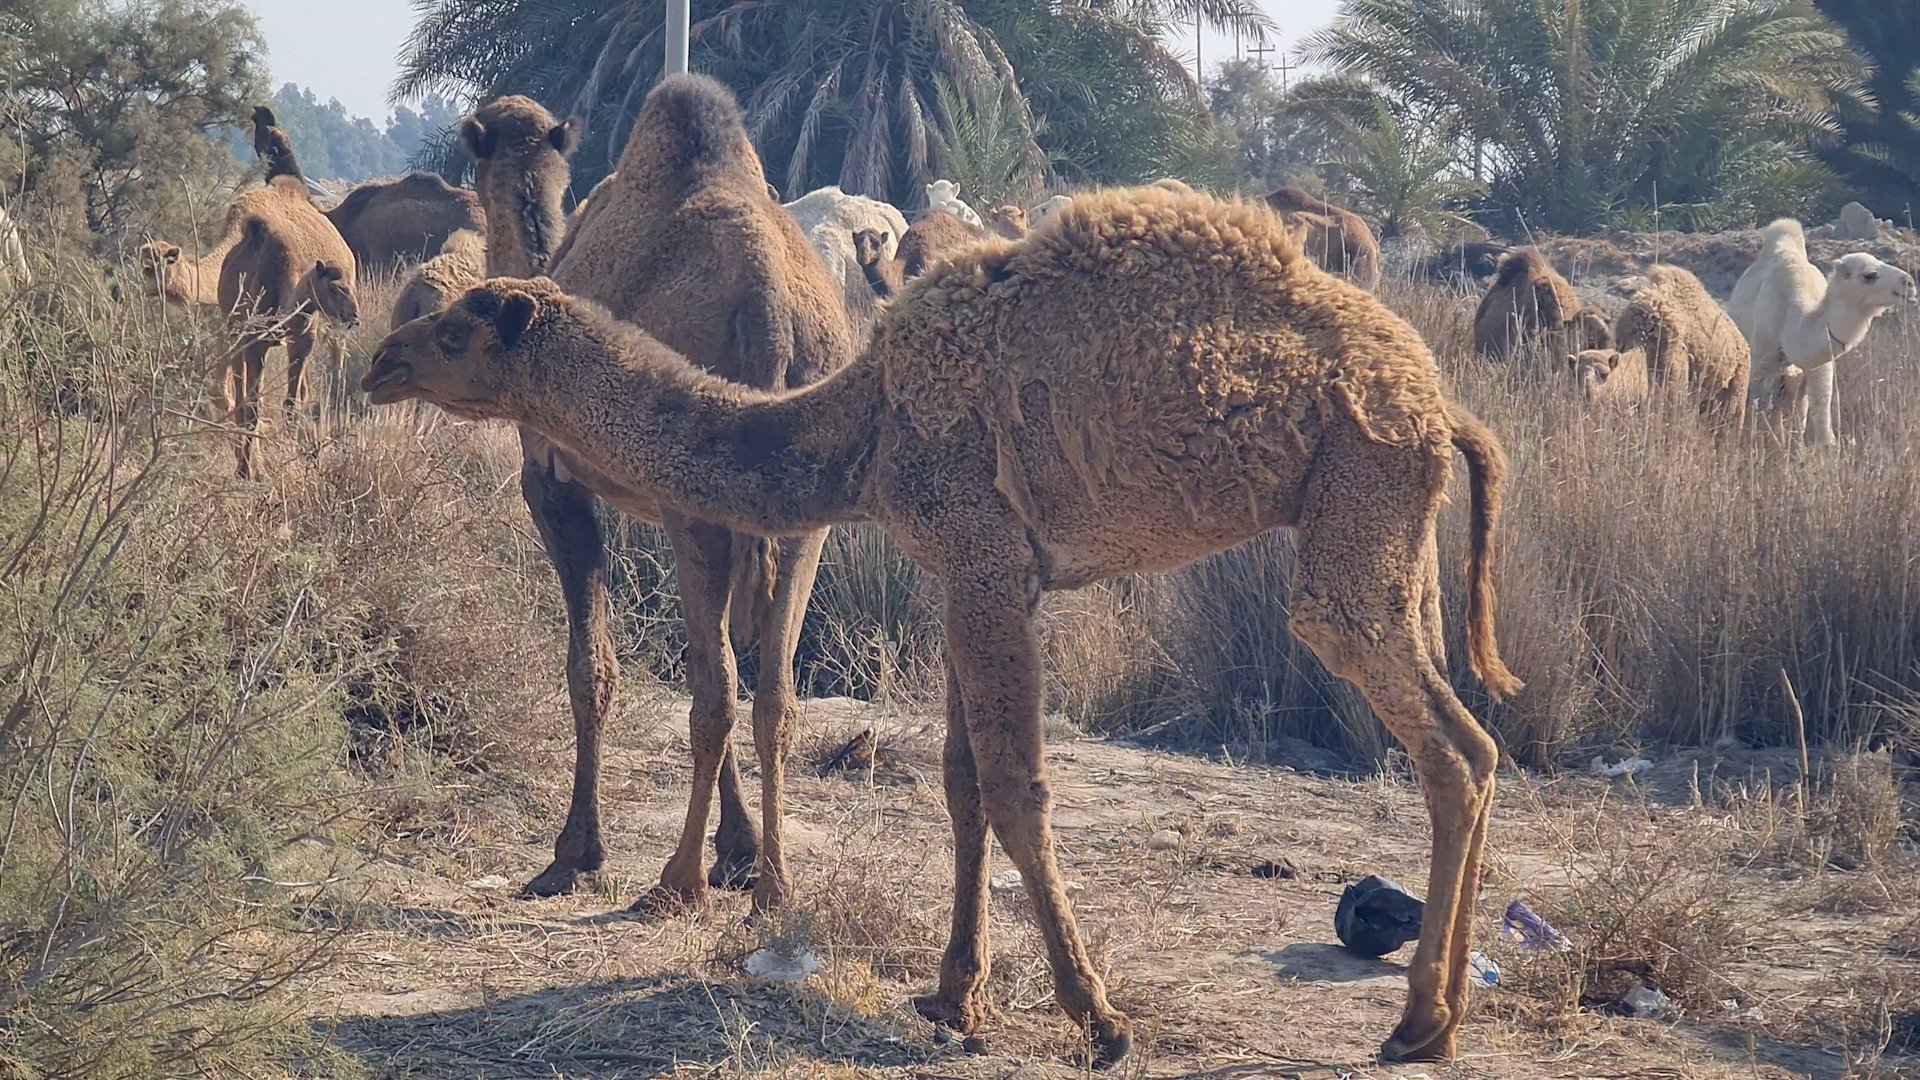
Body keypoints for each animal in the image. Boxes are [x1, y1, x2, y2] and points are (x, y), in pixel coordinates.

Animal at [365, 185, 1522, 1068]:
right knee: (1474, 744)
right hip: (1395, 523)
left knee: (1441, 738)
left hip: (1360, 492)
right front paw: (954, 996)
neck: (867, 423)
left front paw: (1098, 1019)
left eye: (458, 328)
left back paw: (1416, 1023)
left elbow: (1014, 786)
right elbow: (963, 786)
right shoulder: (970, 573)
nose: (381, 359)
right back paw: (1438, 1020)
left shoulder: (982, 557)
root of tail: (1448, 407)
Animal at [453, 77, 857, 911]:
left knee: (716, 691)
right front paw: (738, 850)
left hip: (692, 503)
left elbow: (591, 667)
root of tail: (771, 313)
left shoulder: (553, 483)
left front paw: (574, 854)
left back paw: (675, 884)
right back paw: (773, 887)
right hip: (804, 508)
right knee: (769, 693)